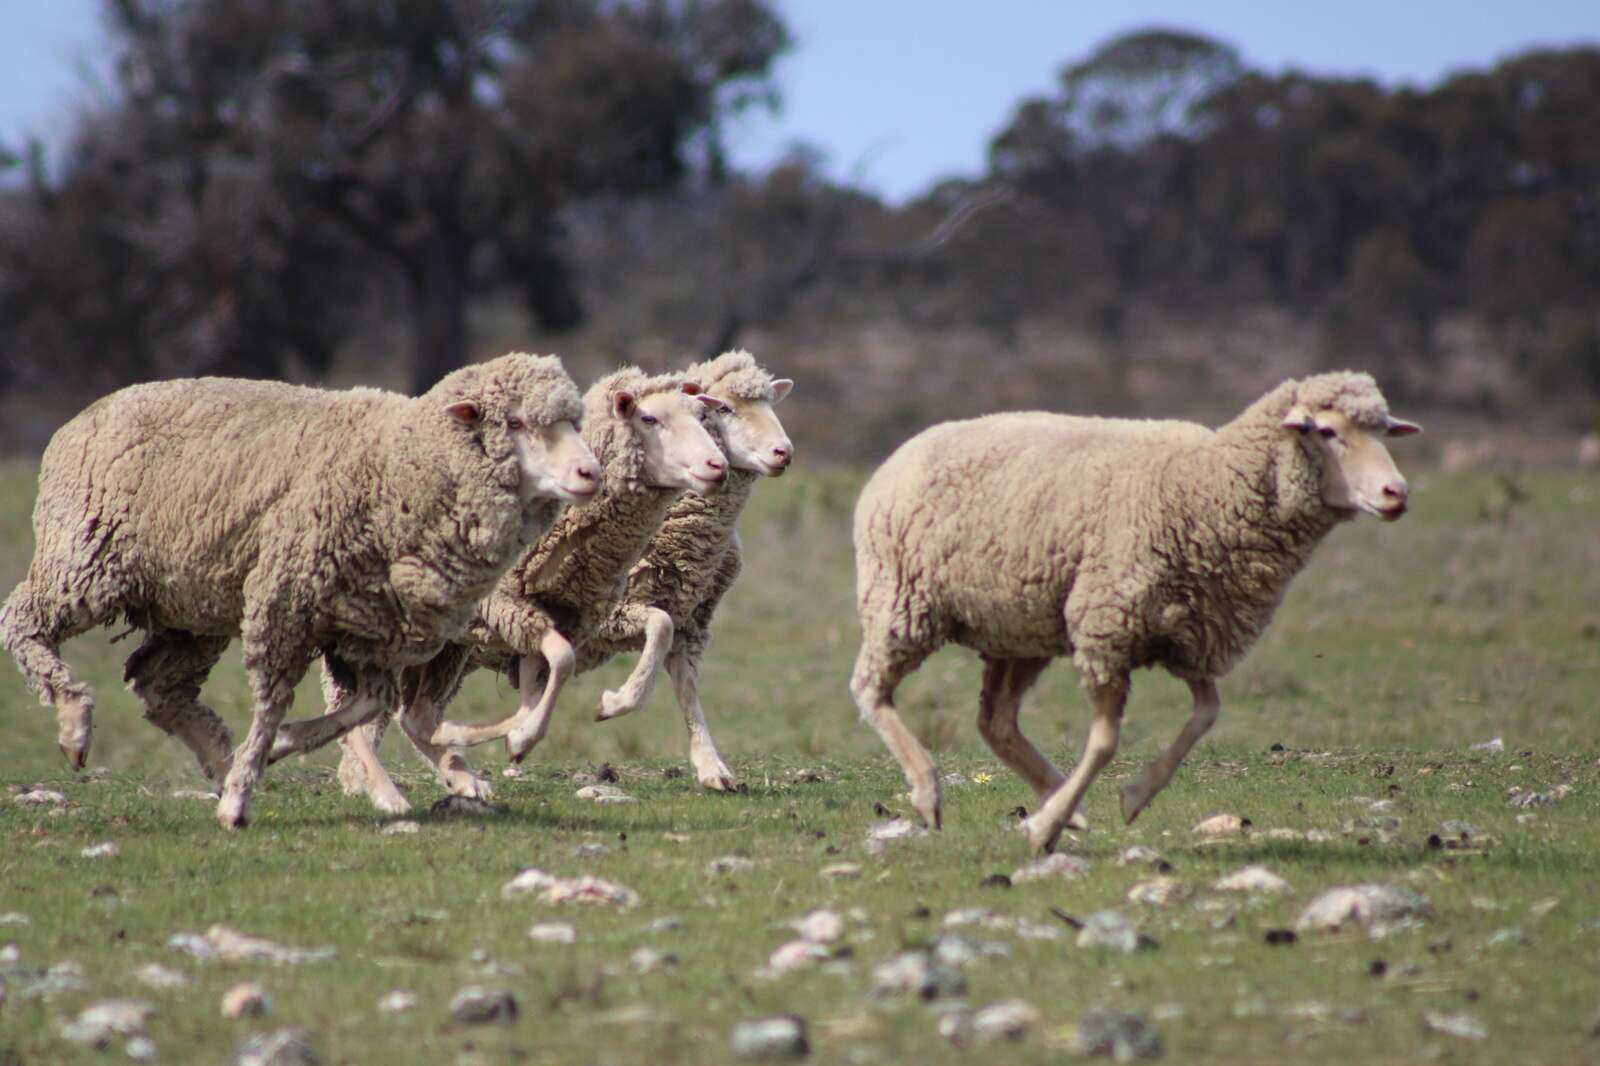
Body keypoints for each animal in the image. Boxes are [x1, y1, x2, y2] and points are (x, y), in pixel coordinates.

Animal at [0, 353, 596, 830]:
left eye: (574, 422)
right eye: (515, 421)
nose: (589, 471)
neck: (402, 467)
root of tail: (82, 416)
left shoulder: (367, 629)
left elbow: (367, 704)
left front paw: (271, 753)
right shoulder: (285, 599)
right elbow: (275, 702)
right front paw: (242, 793)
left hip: (188, 606)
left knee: (156, 683)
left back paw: (219, 757)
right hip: (85, 561)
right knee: (21, 622)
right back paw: (75, 724)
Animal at [329, 366, 730, 811]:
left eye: (701, 414)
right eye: (649, 419)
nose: (717, 465)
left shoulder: (559, 617)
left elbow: (560, 674)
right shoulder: (508, 606)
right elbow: (564, 663)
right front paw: (521, 737)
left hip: (442, 648)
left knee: (412, 717)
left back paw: (461, 774)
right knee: (353, 714)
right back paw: (386, 792)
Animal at [574, 350, 794, 790]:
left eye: (770, 403)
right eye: (723, 408)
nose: (784, 452)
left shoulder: (691, 620)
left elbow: (688, 689)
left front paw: (712, 767)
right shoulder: (613, 610)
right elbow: (659, 630)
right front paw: (614, 703)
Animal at [849, 371, 1421, 854]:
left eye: (1384, 432)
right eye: (1326, 431)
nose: (1397, 493)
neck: (1206, 484)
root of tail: (898, 455)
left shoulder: (1188, 630)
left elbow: (1207, 713)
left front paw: (1130, 797)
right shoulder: (1108, 627)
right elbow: (1105, 742)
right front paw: (1045, 829)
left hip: (1018, 627)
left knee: (996, 723)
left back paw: (1060, 802)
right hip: (903, 599)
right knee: (871, 690)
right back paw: (929, 791)